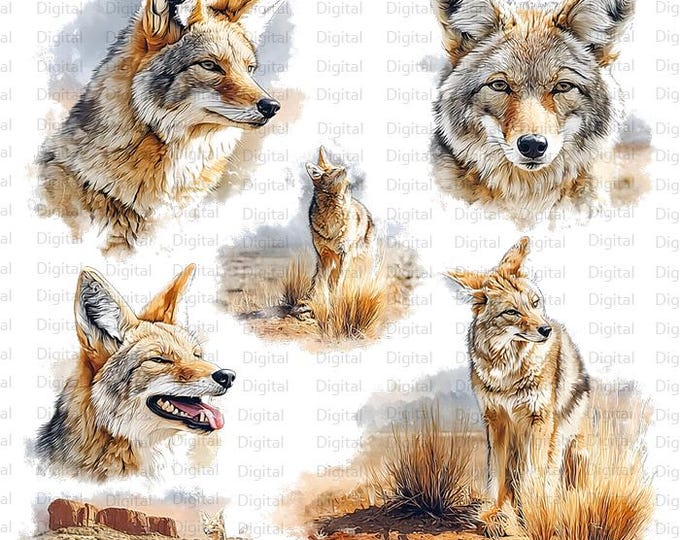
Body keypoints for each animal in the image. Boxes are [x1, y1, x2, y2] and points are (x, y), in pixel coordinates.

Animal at [291, 146, 375, 316]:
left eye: (338, 167)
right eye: (335, 170)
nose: (346, 167)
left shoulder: (344, 255)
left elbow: (337, 284)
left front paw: (335, 306)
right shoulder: (324, 257)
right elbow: (323, 284)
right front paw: (325, 307)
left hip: (363, 259)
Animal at [446, 237, 590, 535]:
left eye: (535, 303)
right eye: (511, 312)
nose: (546, 330)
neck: (507, 371)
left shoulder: (539, 420)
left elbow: (532, 474)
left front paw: (533, 514)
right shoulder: (496, 420)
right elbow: (497, 474)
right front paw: (495, 515)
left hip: (565, 442)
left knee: (554, 478)